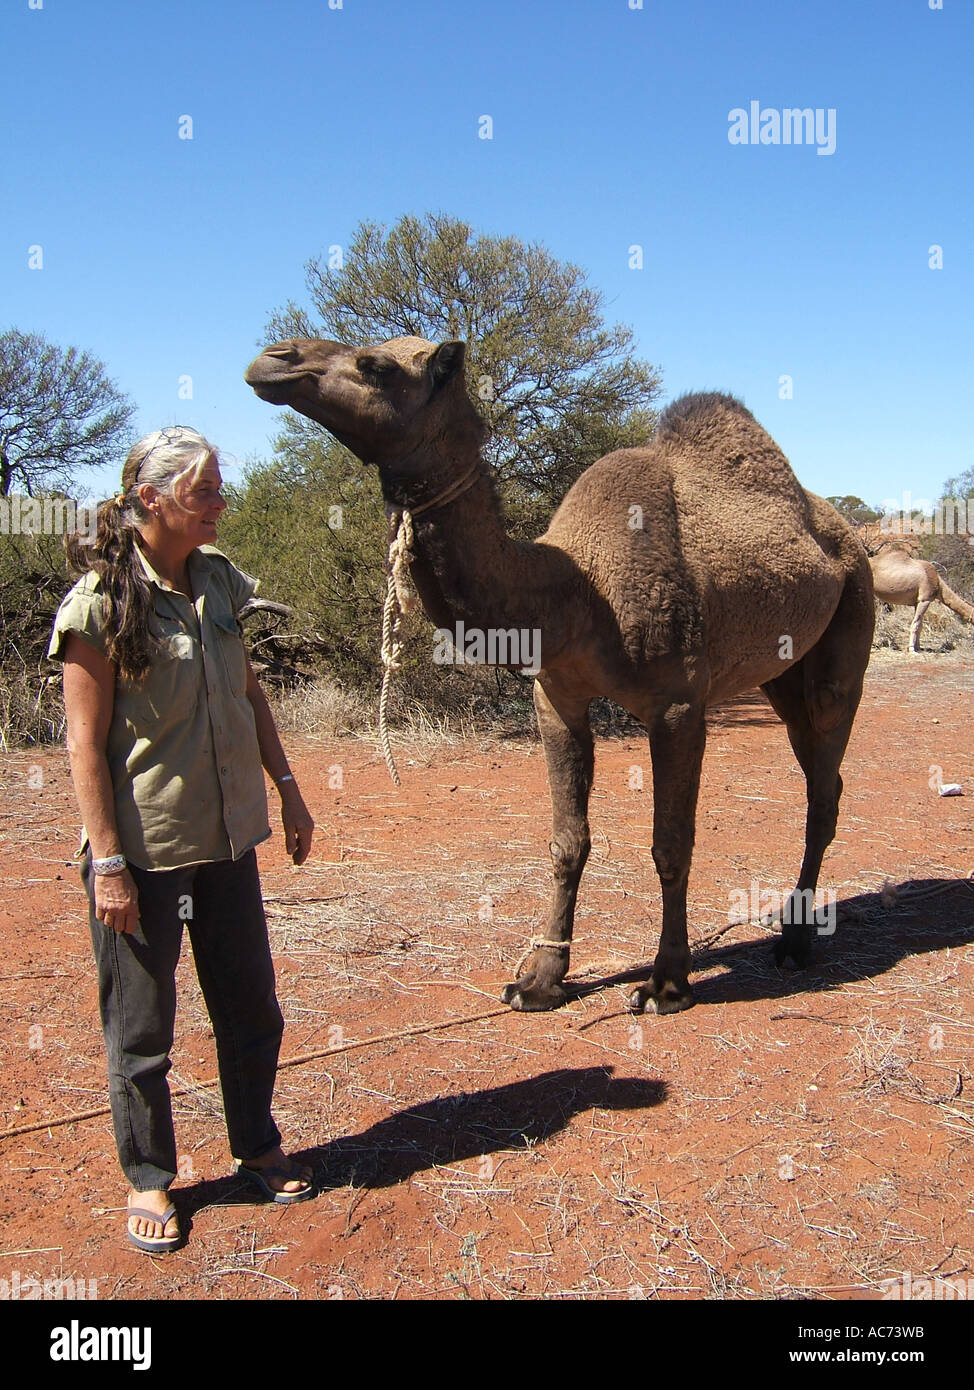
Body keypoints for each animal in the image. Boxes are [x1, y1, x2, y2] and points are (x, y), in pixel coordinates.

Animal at [245, 336, 875, 1015]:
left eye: (377, 367)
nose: (272, 360)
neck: (576, 590)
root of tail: (848, 536)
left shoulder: (678, 706)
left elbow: (671, 842)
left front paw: (666, 982)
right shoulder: (556, 696)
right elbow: (568, 839)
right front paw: (540, 978)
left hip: (848, 630)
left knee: (824, 786)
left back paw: (796, 941)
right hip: (783, 676)